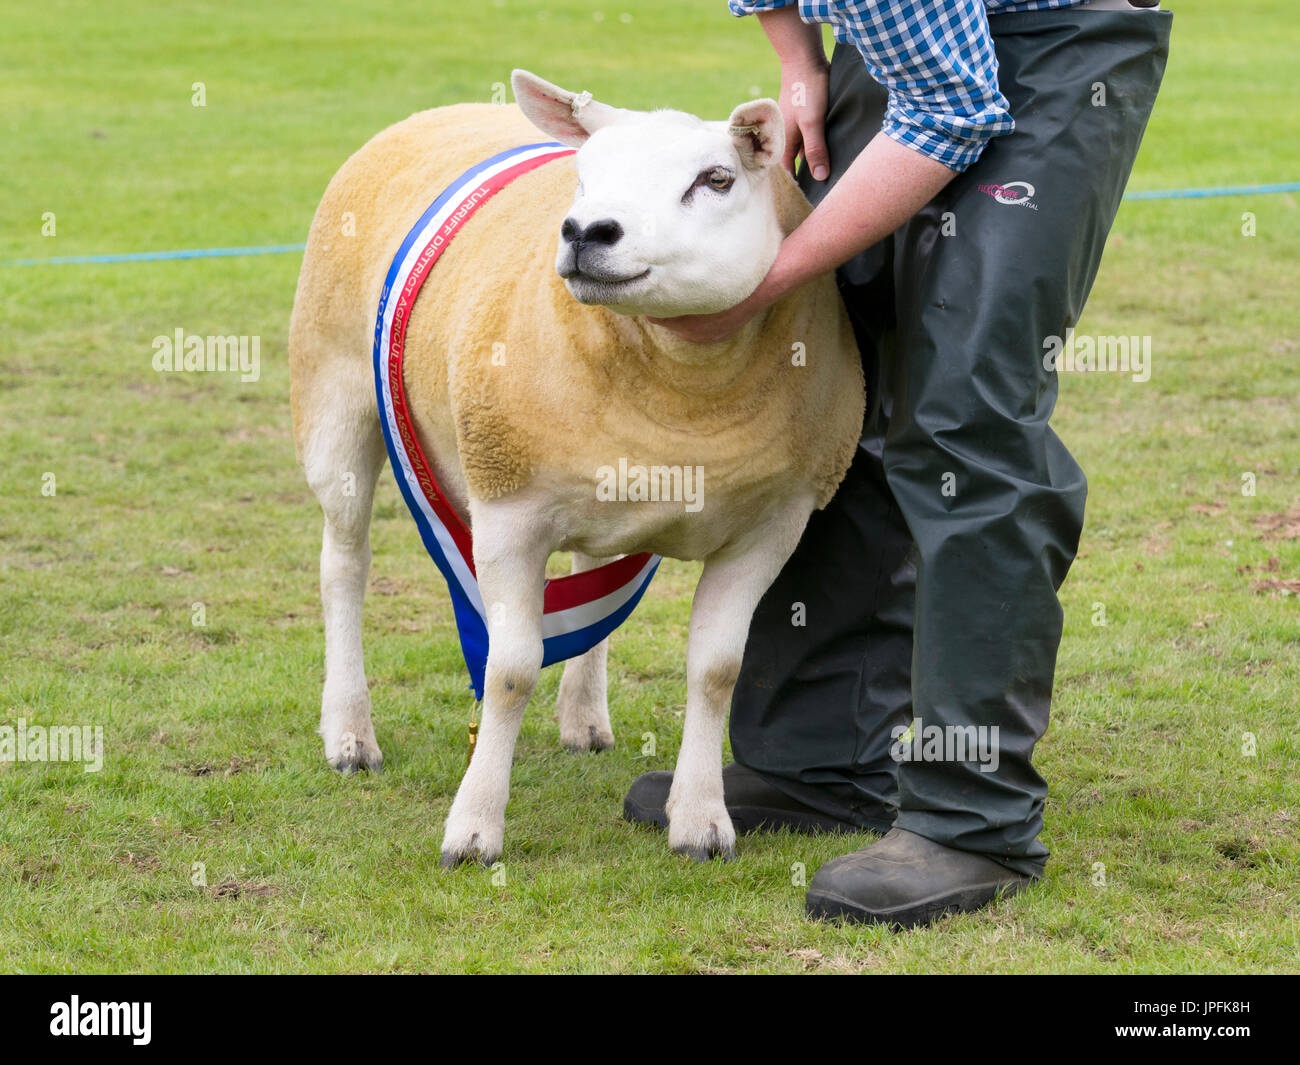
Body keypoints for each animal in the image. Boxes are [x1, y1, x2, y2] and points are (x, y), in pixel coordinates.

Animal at [288, 70, 865, 864]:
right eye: (583, 177)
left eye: (716, 179)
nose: (587, 233)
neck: (684, 396)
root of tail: (434, 113)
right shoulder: (508, 508)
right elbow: (508, 671)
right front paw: (474, 828)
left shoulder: (774, 524)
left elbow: (716, 671)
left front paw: (700, 820)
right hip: (336, 395)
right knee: (343, 564)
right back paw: (349, 732)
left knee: (590, 575)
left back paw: (583, 717)